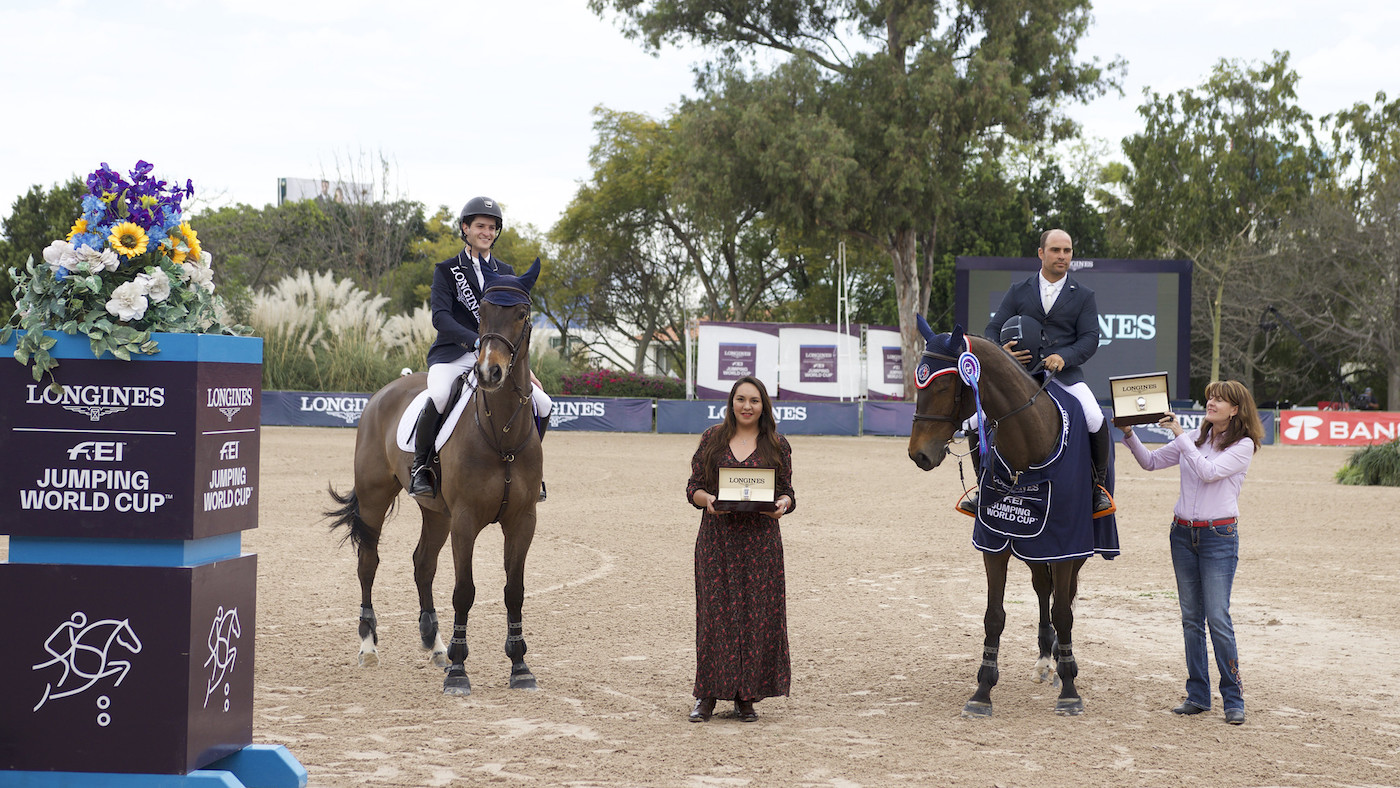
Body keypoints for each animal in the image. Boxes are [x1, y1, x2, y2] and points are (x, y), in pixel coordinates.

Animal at [327, 259, 543, 696]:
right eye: (484, 315)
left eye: (521, 314)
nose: (490, 371)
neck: (503, 435)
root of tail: (383, 392)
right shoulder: (466, 520)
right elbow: (464, 591)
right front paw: (460, 671)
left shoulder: (522, 520)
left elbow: (514, 591)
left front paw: (519, 666)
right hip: (376, 498)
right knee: (368, 562)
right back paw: (369, 646)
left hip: (436, 512)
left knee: (422, 563)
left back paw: (435, 642)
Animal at [906, 317, 1117, 717]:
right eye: (918, 381)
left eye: (941, 383)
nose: (918, 455)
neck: (1028, 441)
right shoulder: (996, 541)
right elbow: (994, 615)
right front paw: (982, 692)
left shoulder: (1066, 543)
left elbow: (1064, 612)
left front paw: (1070, 691)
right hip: (1033, 546)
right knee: (1043, 588)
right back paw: (1045, 659)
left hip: (1077, 546)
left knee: (1064, 596)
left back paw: (1061, 662)